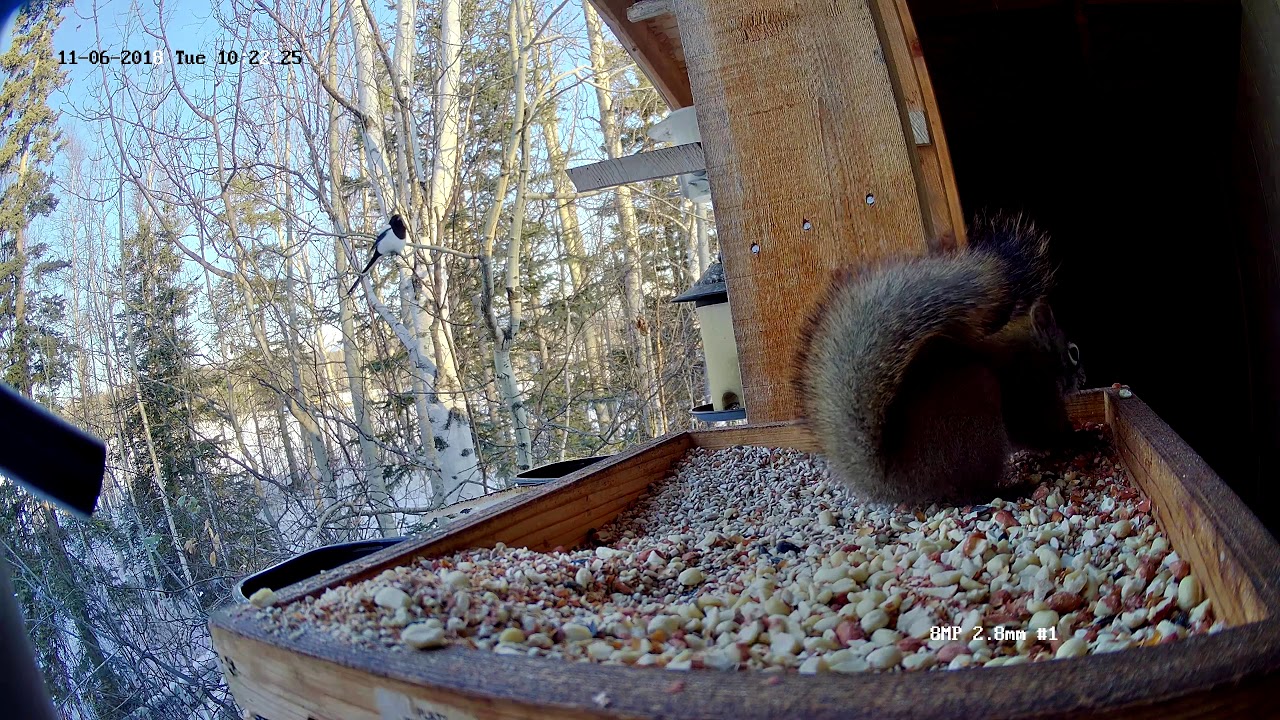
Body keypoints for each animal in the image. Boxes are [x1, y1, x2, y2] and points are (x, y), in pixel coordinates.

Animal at [793, 213, 1087, 505]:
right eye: (1073, 351)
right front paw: (1080, 438)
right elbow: (1041, 430)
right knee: (975, 491)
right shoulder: (1035, 390)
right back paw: (1010, 489)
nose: (1082, 378)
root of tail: (899, 483)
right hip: (979, 403)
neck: (1034, 351)